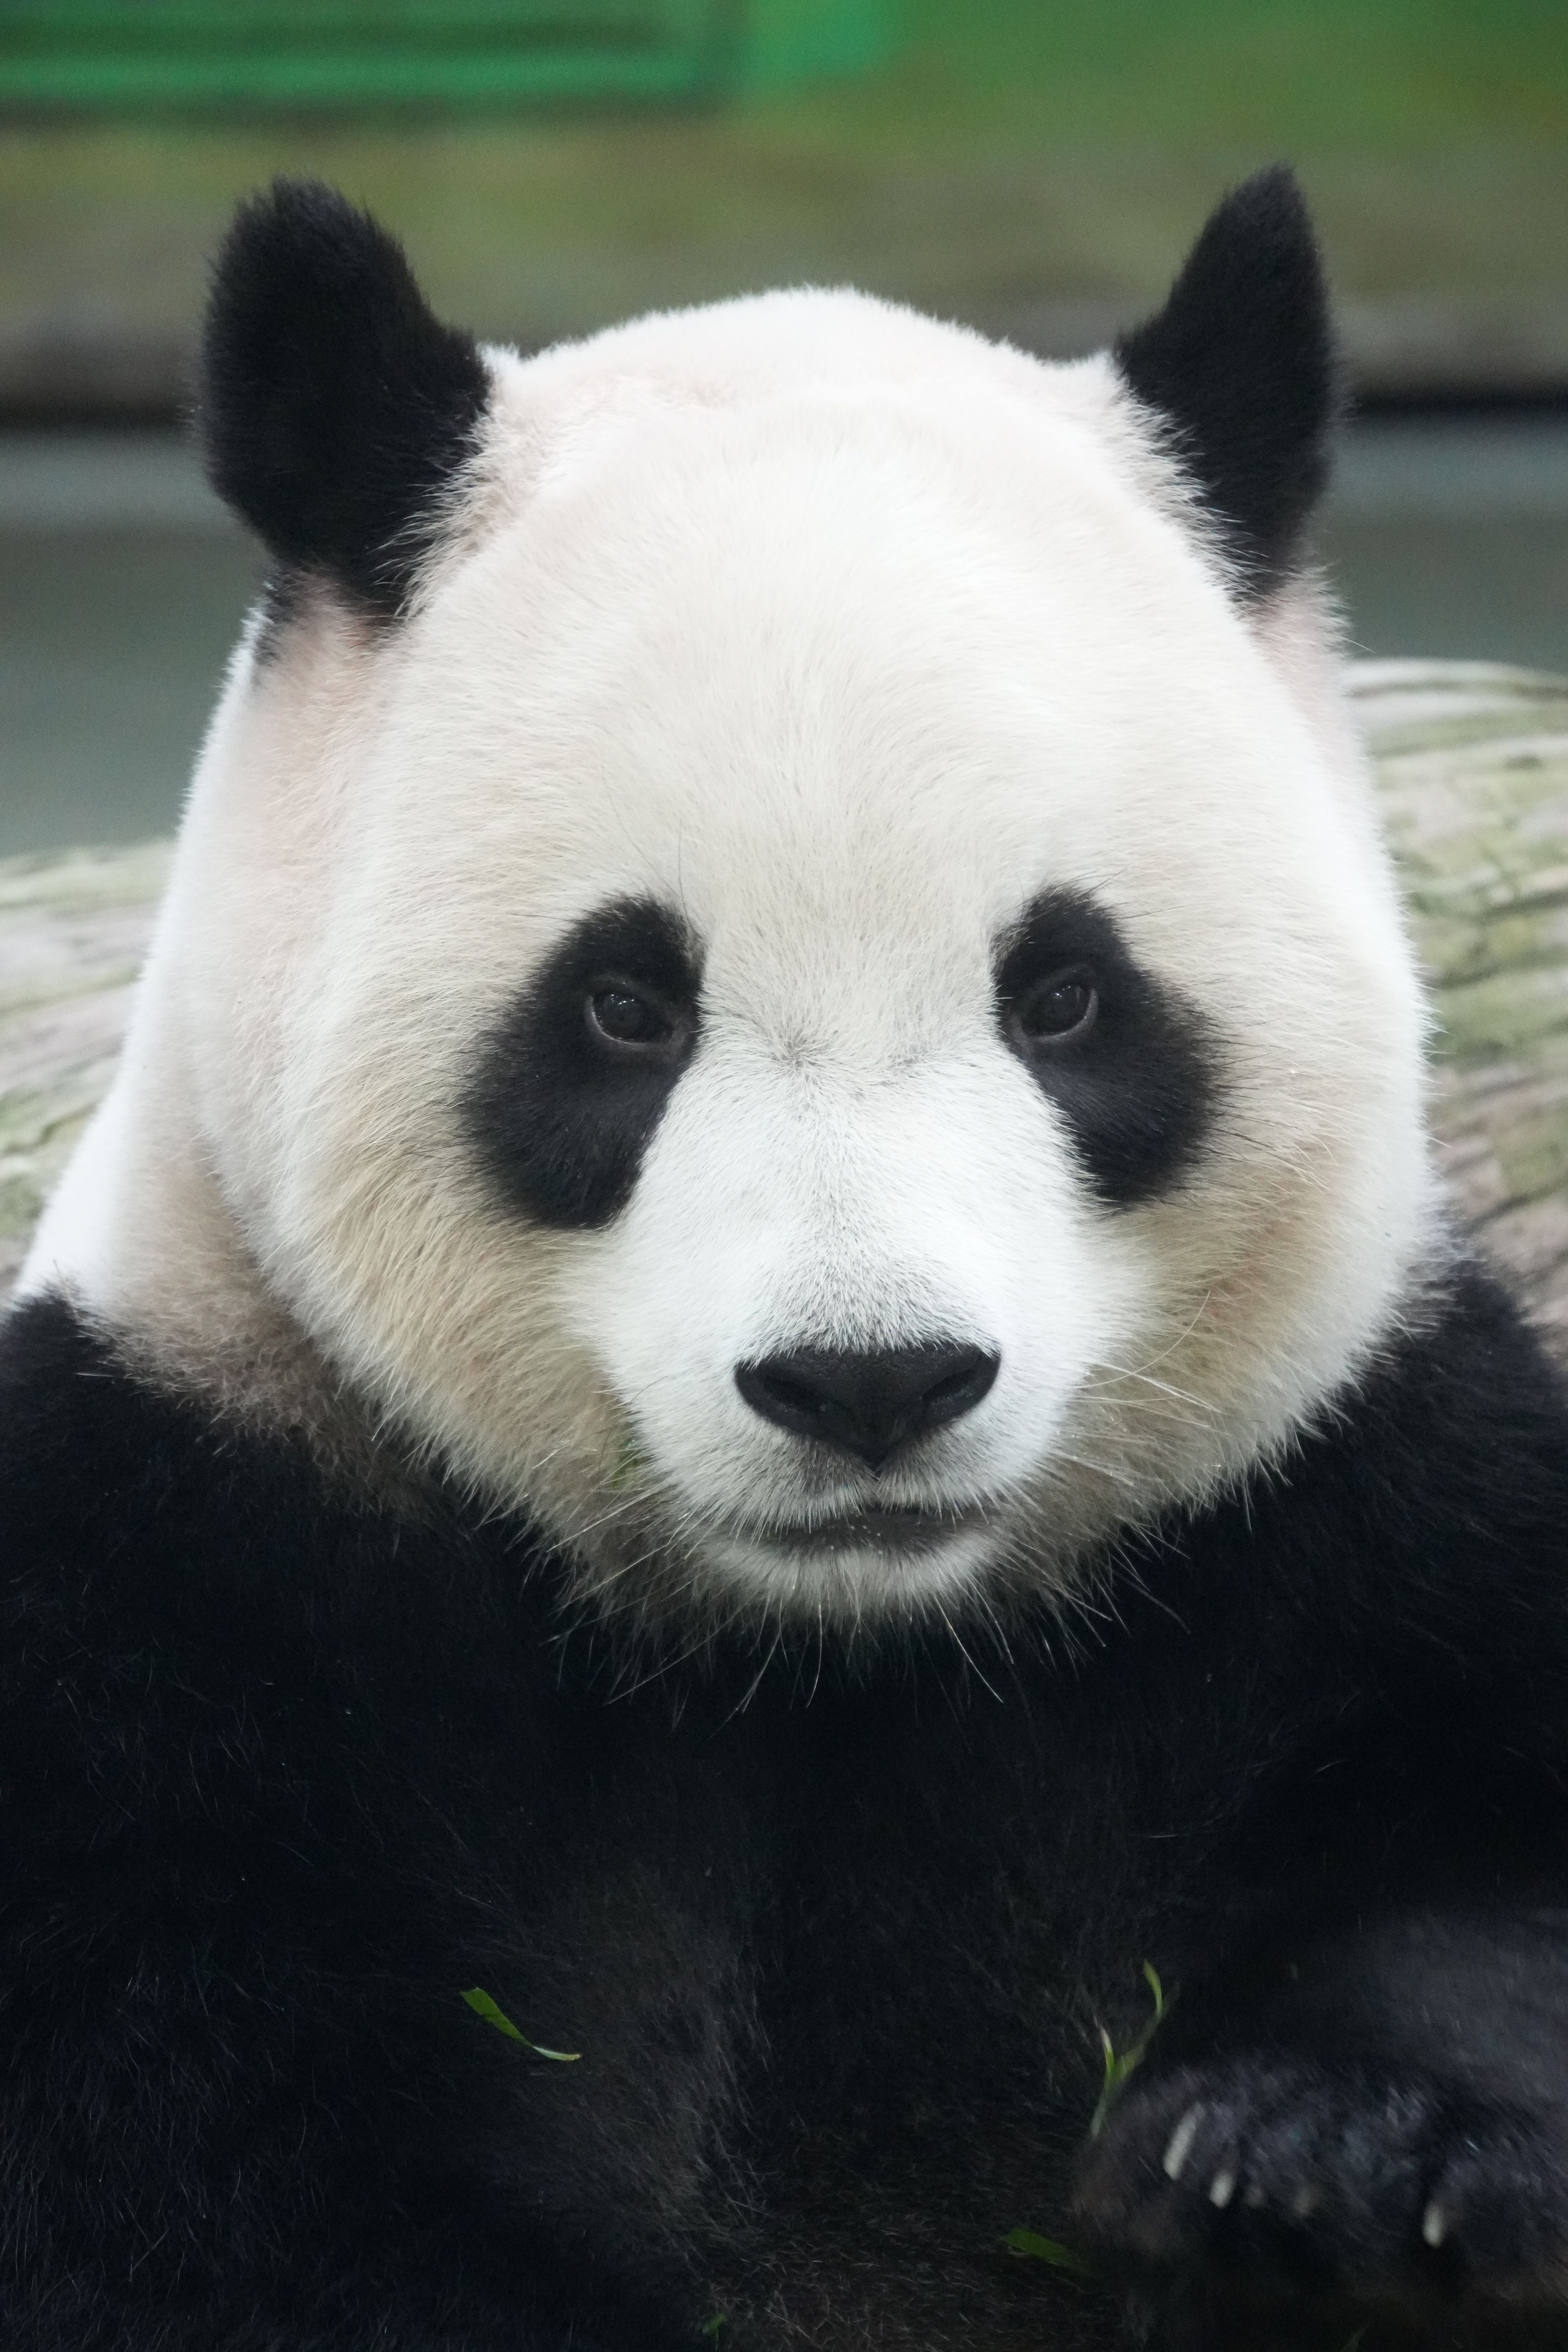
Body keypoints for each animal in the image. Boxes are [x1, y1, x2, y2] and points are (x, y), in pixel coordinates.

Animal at [6, 162, 1568, 2352]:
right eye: (626, 1008)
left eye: (1064, 997)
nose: (871, 1381)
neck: (824, 1653)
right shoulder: (191, 1542)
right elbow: (201, 2192)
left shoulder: (1337, 1474)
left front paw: (1333, 2152)